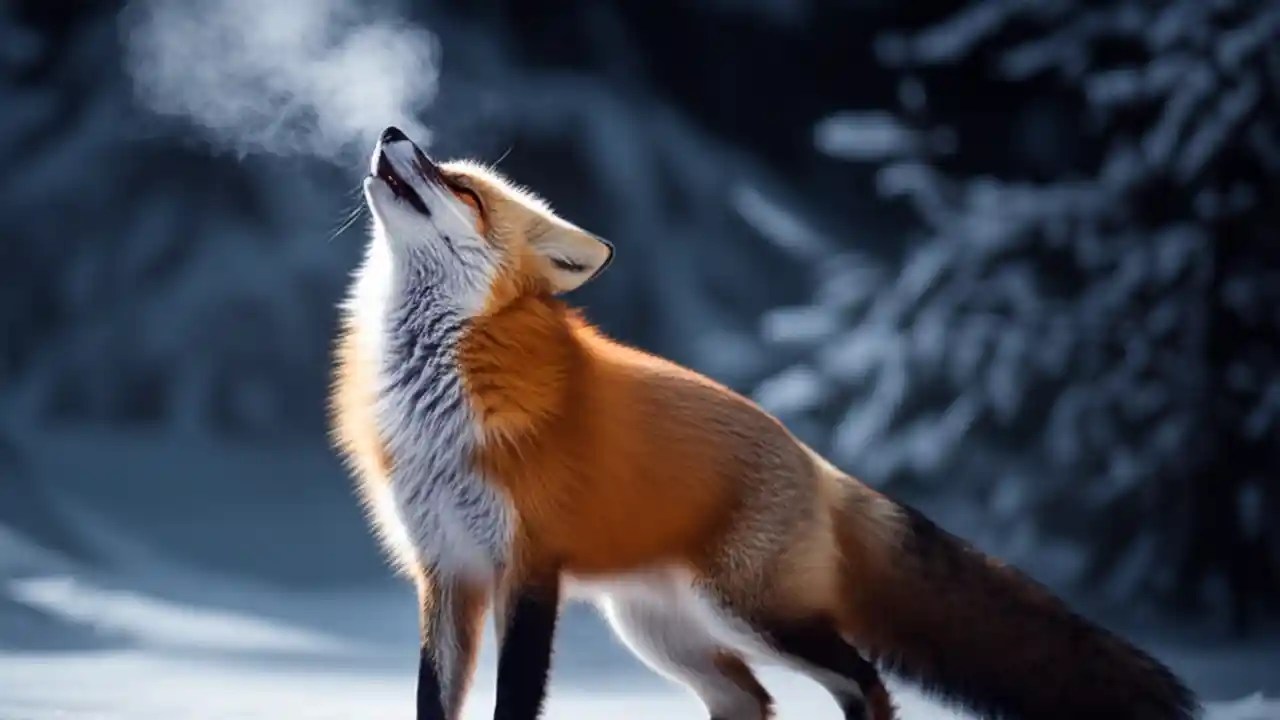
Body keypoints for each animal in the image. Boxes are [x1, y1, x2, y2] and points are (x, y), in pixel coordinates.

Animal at [330, 126, 1198, 720]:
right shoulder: (446, 571)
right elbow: (432, 703)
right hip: (662, 631)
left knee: (864, 679)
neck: (443, 401)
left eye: (463, 190)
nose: (394, 130)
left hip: (748, 612)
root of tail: (815, 459)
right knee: (750, 701)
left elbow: (513, 701)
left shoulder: (529, 569)